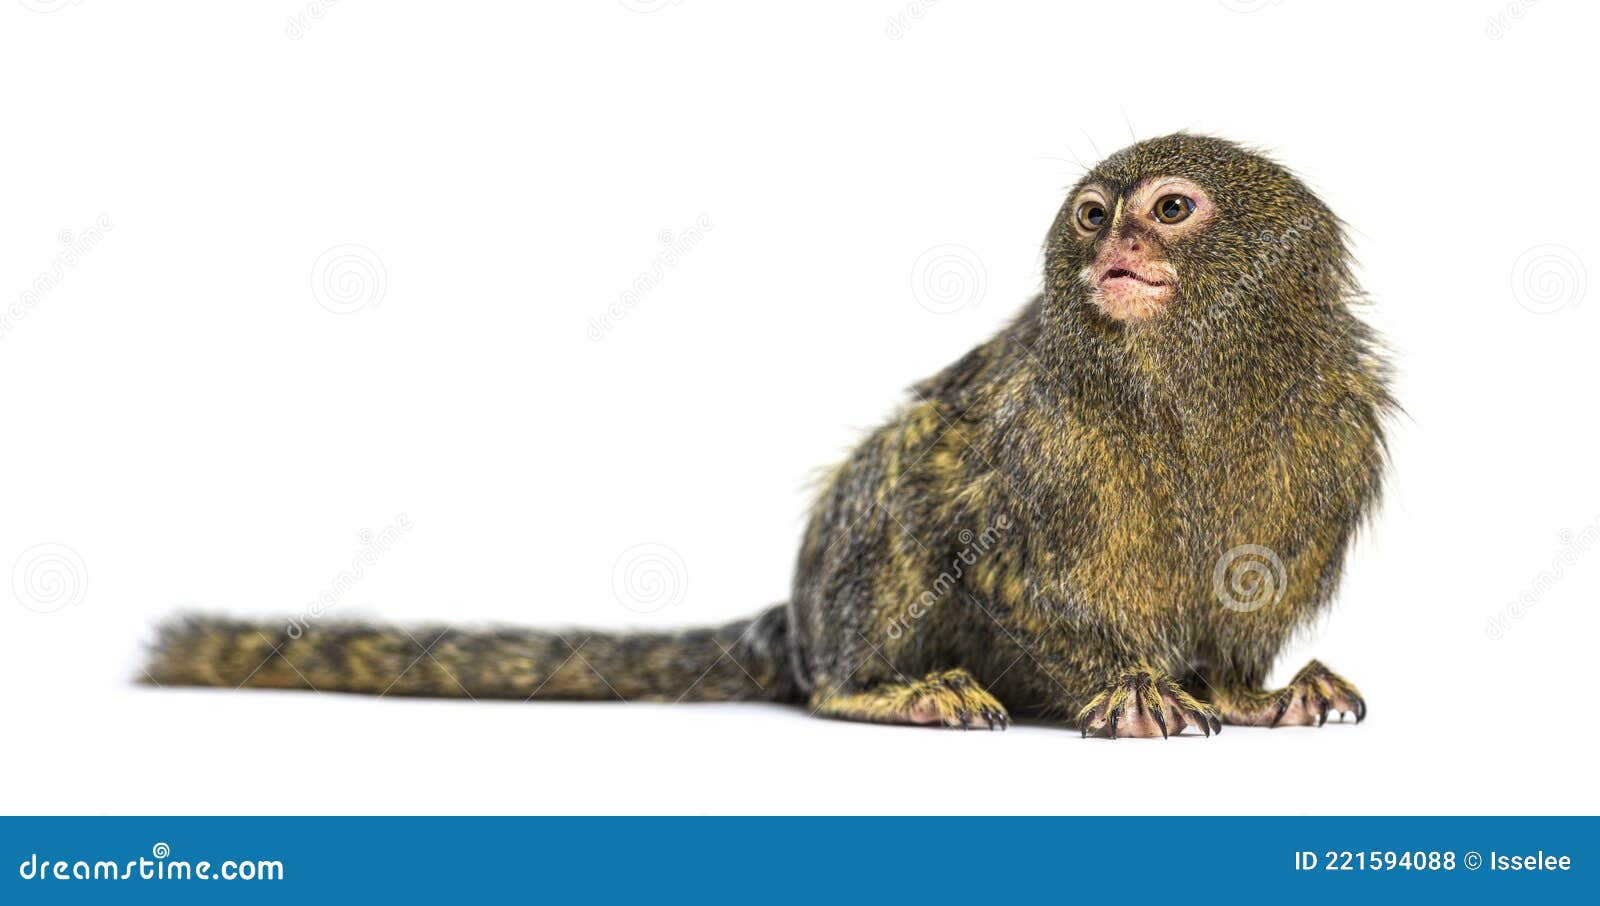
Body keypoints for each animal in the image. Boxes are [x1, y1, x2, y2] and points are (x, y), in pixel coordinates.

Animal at [145, 133, 1390, 739]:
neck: (1192, 385)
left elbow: (1239, 604)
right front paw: (1129, 690)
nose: (1113, 251)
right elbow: (1003, 571)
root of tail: (792, 627)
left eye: (1171, 209)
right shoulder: (1033, 433)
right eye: (1091, 216)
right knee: (894, 488)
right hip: (850, 583)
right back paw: (883, 691)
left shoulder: (1328, 438)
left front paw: (1246, 693)